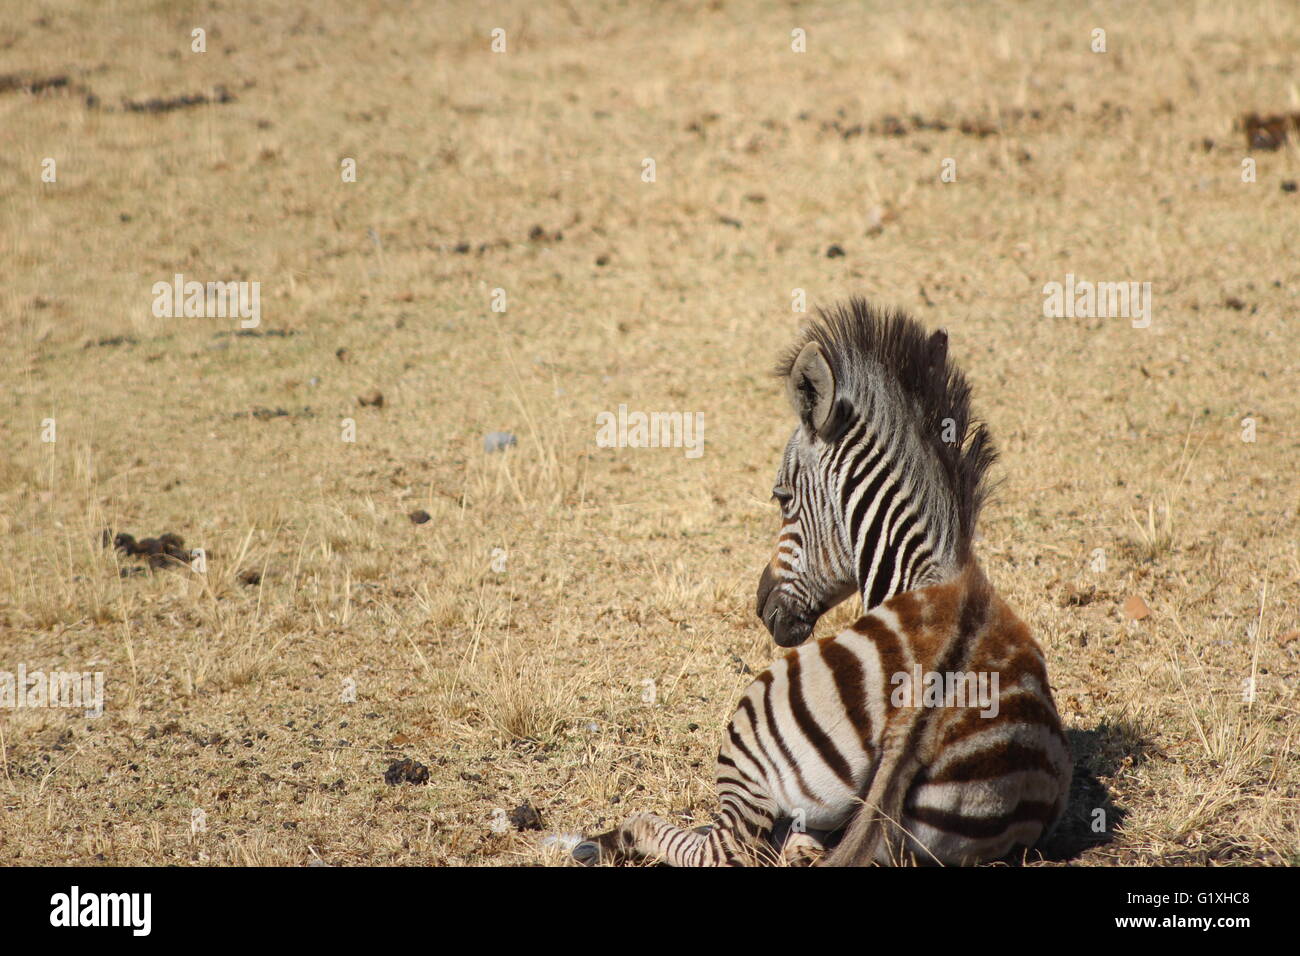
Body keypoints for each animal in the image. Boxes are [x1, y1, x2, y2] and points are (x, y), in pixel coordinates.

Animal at [572, 299, 1071, 866]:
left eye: (781, 498)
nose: (761, 607)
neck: (931, 572)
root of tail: (916, 722)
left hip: (750, 734)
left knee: (722, 849)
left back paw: (610, 837)